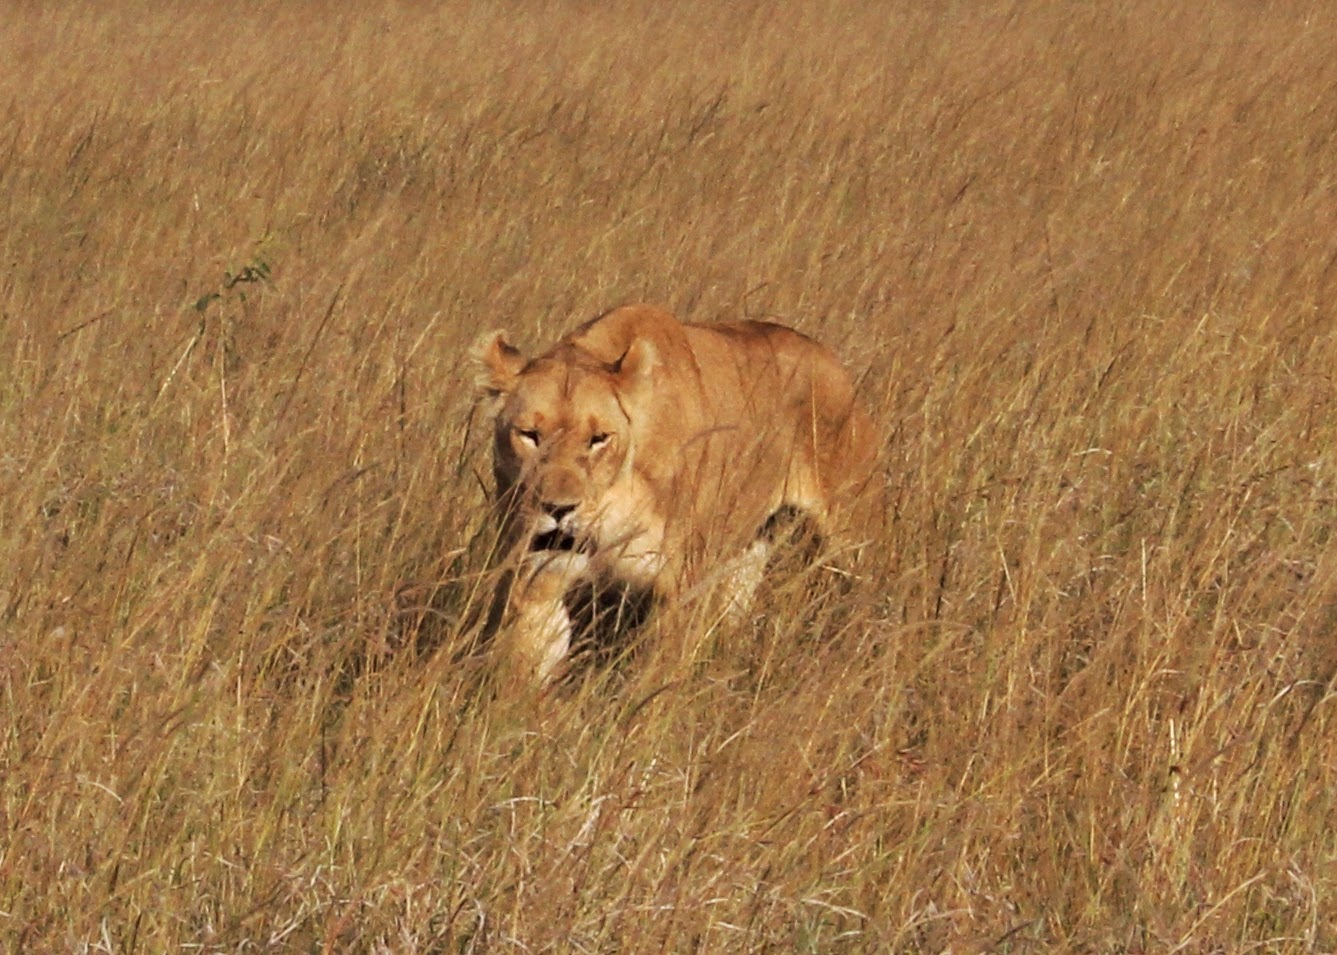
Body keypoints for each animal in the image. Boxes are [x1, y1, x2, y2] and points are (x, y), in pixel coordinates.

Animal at [473, 304, 877, 686]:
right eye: (529, 435)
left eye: (598, 439)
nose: (558, 509)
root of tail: (824, 354)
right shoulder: (538, 576)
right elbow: (529, 664)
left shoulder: (678, 582)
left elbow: (657, 674)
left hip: (849, 533)